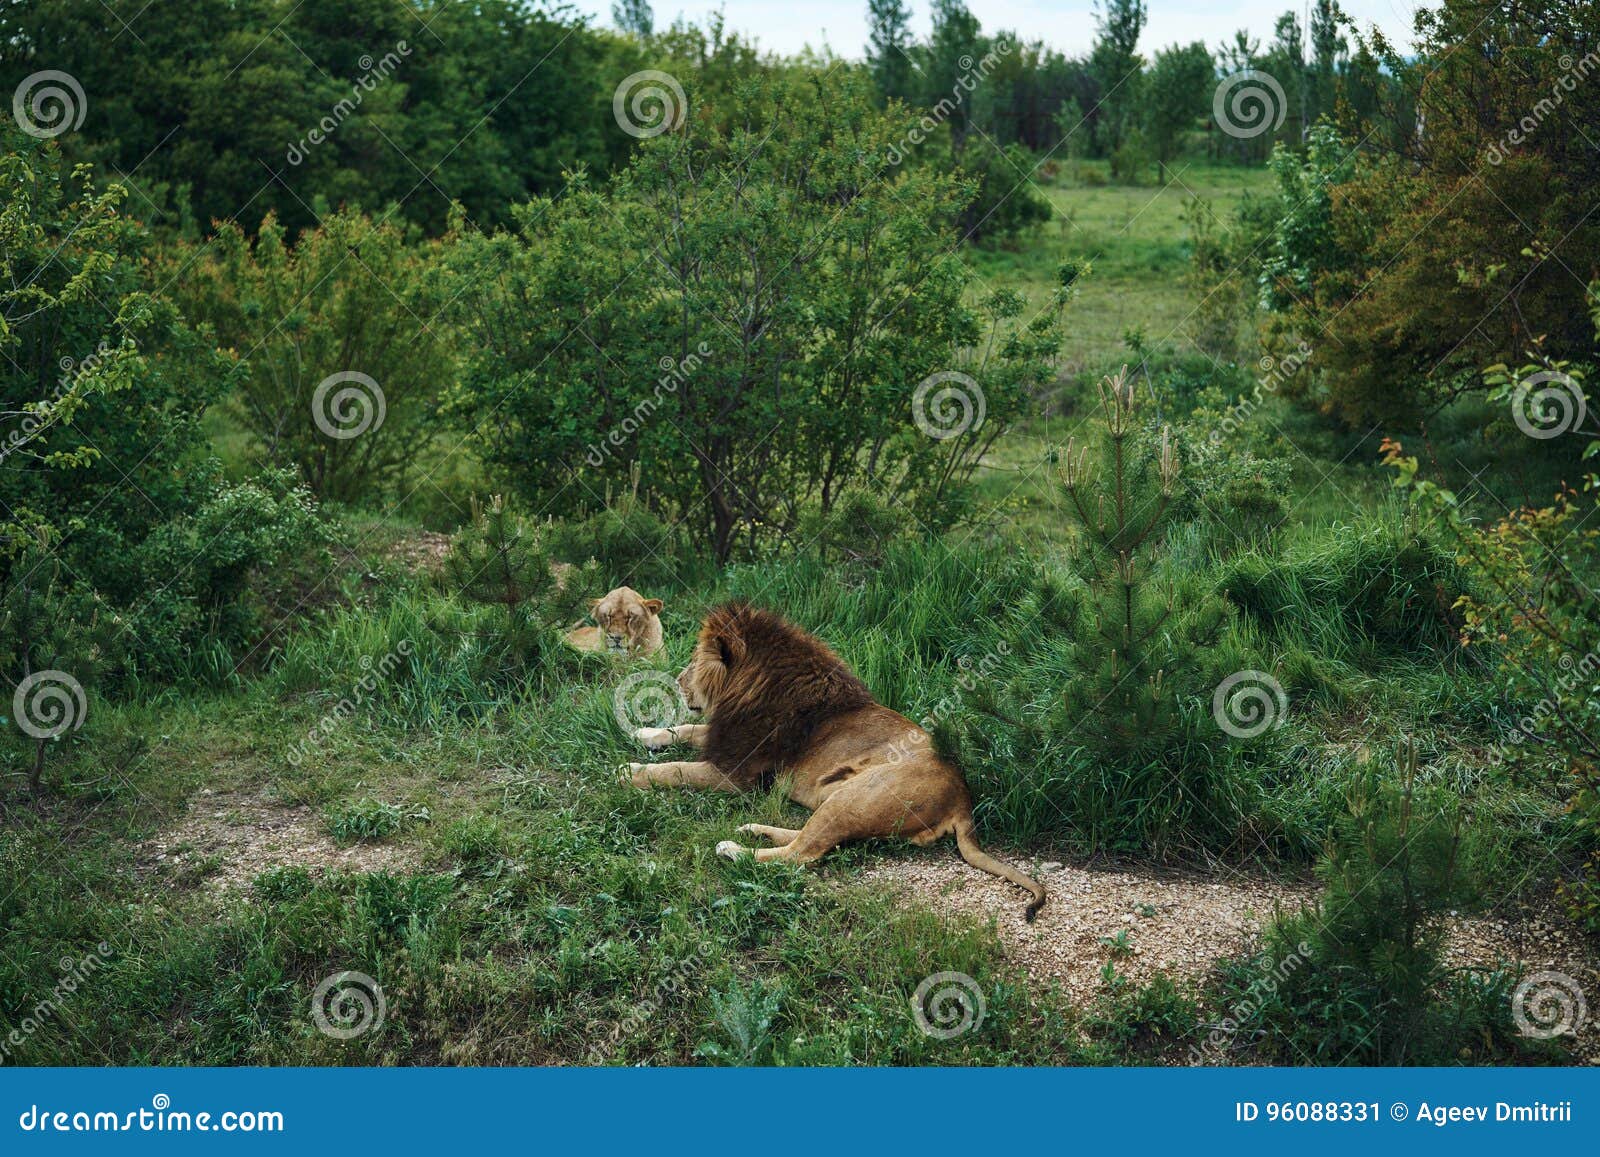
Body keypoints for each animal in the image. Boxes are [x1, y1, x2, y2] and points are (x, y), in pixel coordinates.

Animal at [626, 601, 1046, 920]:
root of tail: (964, 800)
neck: (753, 689)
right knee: (807, 837)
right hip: (839, 796)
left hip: (857, 797)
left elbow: (676, 769)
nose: (677, 681)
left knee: (802, 854)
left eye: (694, 662)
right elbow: (683, 729)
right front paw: (643, 734)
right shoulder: (723, 737)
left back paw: (733, 849)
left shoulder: (734, 773)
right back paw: (753, 829)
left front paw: (628, 772)